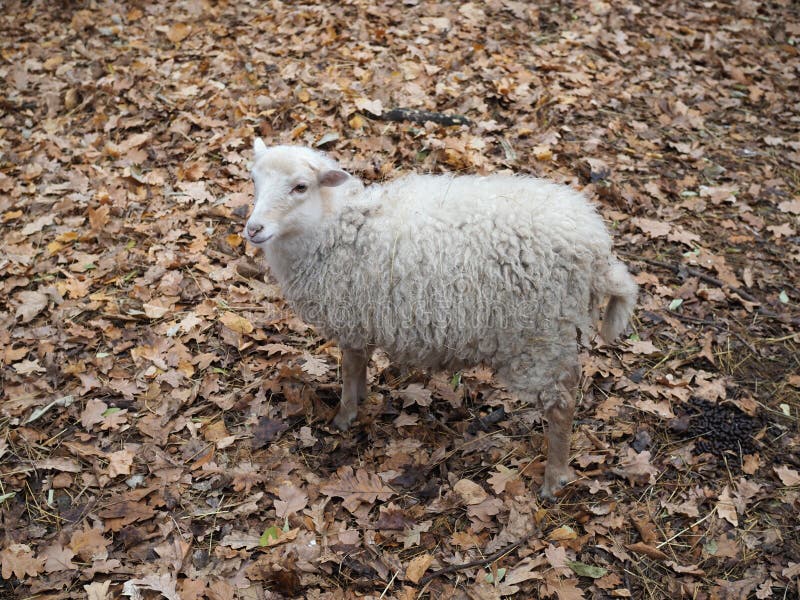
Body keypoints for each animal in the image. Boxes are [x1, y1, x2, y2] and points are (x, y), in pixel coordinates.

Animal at [243, 139, 637, 499]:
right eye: (254, 180)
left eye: (300, 187)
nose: (253, 229)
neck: (338, 228)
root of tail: (597, 250)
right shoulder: (362, 320)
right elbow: (361, 365)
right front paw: (360, 400)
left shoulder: (351, 318)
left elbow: (350, 369)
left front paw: (344, 415)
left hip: (540, 335)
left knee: (562, 403)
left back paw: (555, 478)